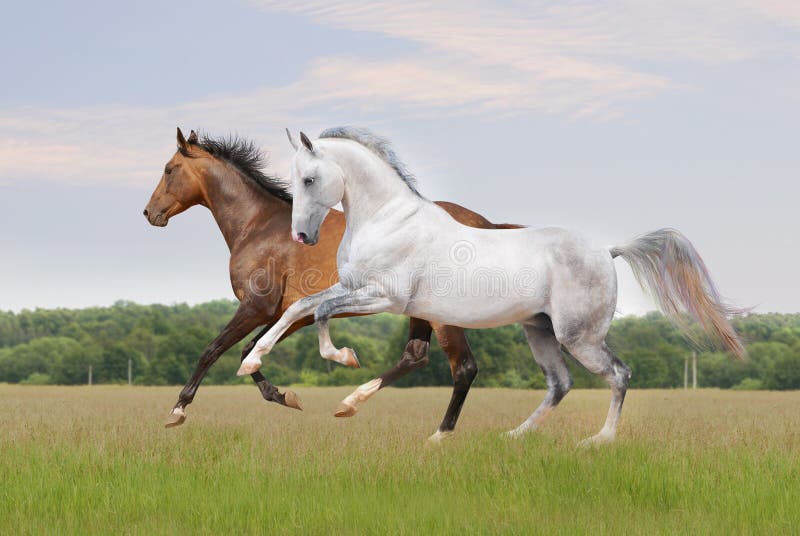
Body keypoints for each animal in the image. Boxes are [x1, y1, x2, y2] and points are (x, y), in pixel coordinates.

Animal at [144, 128, 520, 435]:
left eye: (168, 169)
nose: (149, 213)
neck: (258, 225)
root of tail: (486, 224)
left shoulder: (255, 307)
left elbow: (212, 350)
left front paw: (177, 411)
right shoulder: (290, 313)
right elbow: (250, 349)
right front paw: (285, 396)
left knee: (464, 368)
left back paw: (438, 435)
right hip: (420, 311)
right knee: (416, 356)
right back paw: (349, 403)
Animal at [238, 126, 745, 445]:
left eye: (309, 178)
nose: (302, 237)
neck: (388, 220)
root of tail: (608, 251)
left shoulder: (385, 297)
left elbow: (320, 312)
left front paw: (342, 358)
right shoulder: (353, 288)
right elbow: (300, 306)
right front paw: (251, 362)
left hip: (579, 336)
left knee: (618, 375)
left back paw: (598, 441)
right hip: (539, 332)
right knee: (560, 384)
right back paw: (514, 436)